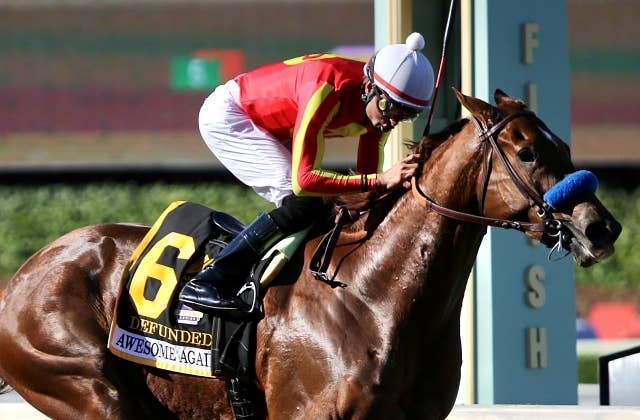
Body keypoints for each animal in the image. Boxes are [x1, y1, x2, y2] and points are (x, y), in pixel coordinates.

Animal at [0, 89, 621, 419]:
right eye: (527, 150)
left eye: (563, 146)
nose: (603, 228)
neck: (374, 294)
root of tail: (24, 273)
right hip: (82, 384)